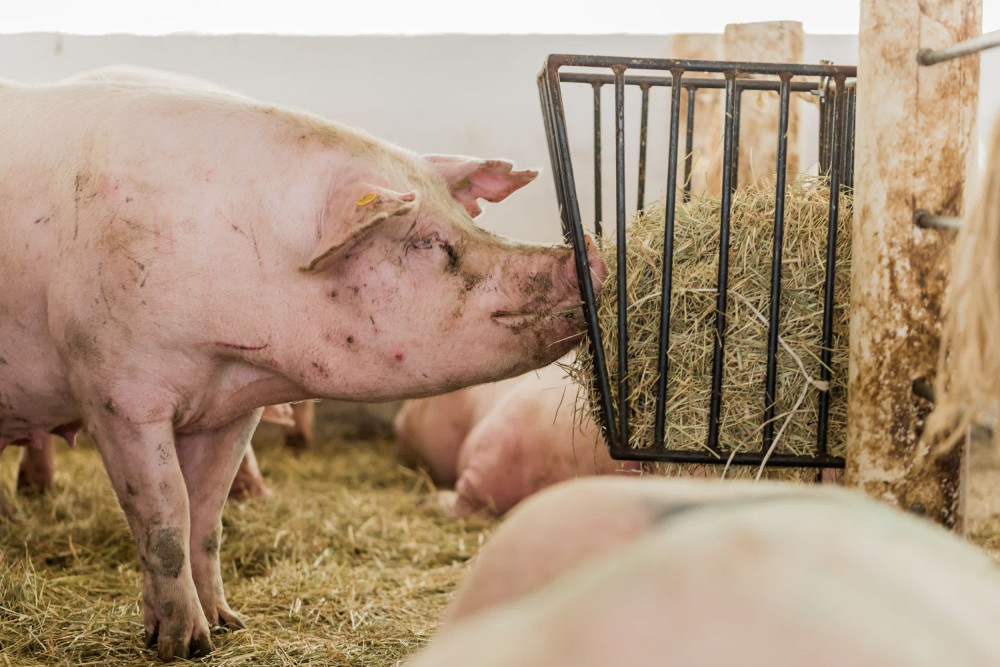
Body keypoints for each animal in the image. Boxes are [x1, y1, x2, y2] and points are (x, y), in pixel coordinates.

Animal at [0, 68, 605, 660]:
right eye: (430, 242)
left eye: (466, 219)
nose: (588, 253)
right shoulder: (114, 389)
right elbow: (166, 518)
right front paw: (185, 645)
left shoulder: (227, 408)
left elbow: (207, 516)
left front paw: (229, 624)